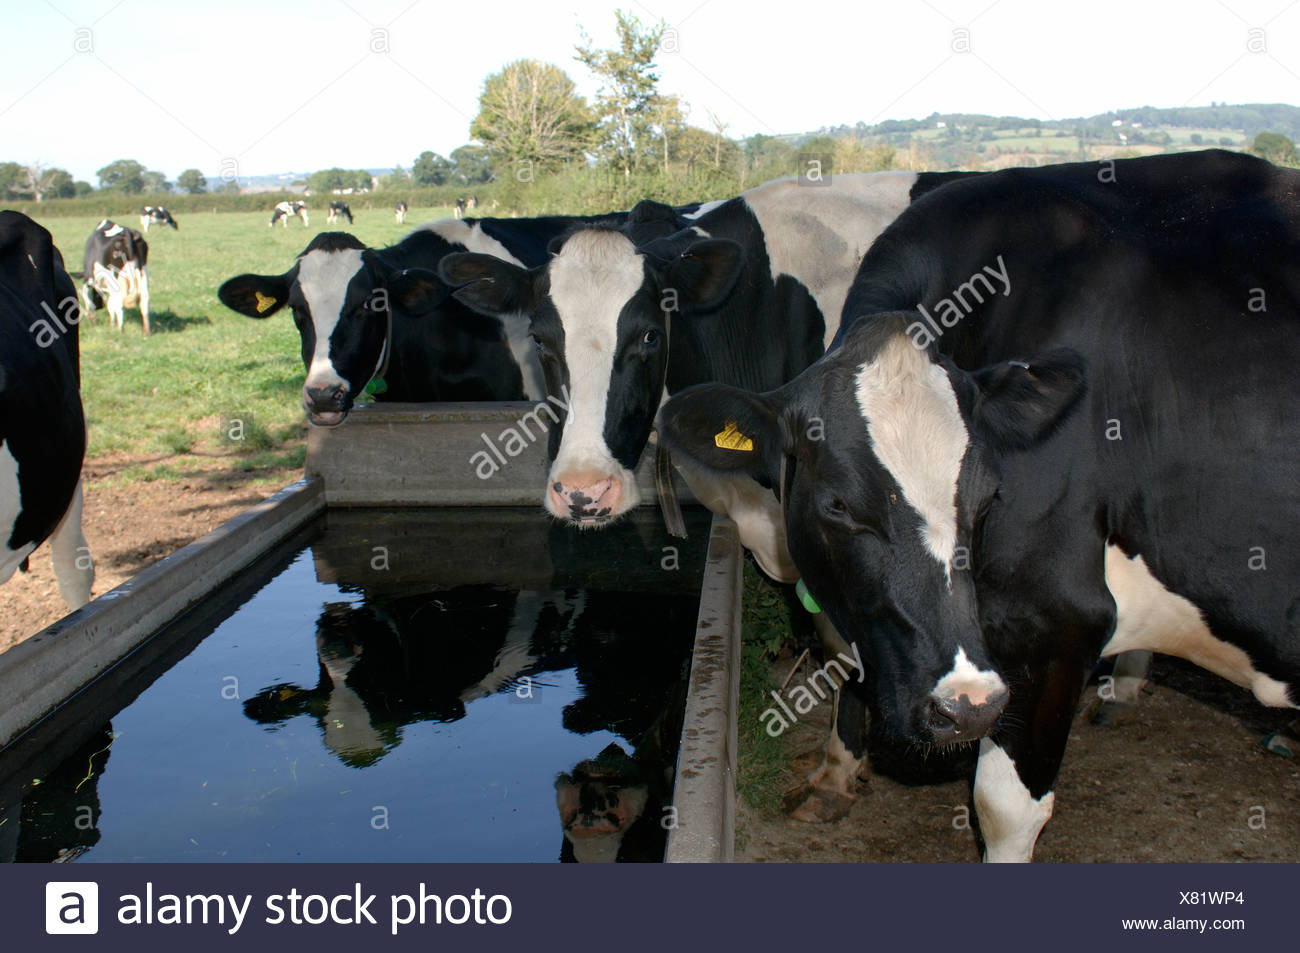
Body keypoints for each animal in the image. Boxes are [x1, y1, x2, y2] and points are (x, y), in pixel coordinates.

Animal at [657, 150, 1300, 861]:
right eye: (838, 505)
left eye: (992, 495)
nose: (962, 706)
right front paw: (834, 777)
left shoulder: (1056, 625)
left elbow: (1004, 811)